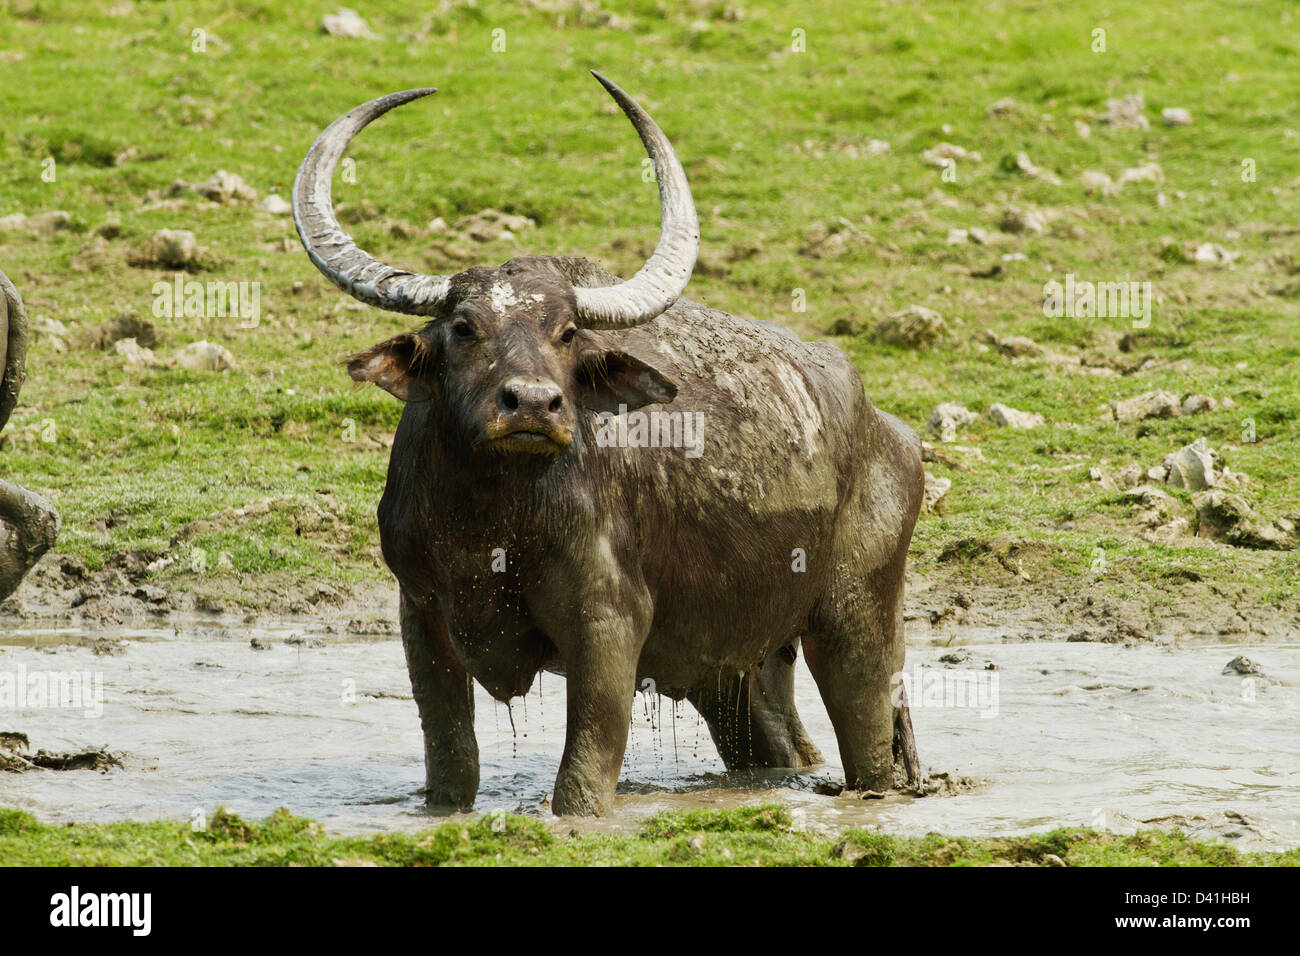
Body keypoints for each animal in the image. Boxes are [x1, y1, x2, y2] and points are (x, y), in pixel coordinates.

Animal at [294, 73, 923, 816]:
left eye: (567, 331)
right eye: (464, 326)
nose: (533, 404)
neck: (494, 523)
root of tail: (890, 431)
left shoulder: (608, 622)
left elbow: (586, 767)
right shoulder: (421, 614)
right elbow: (449, 759)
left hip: (857, 620)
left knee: (871, 731)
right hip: (733, 665)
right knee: (782, 744)